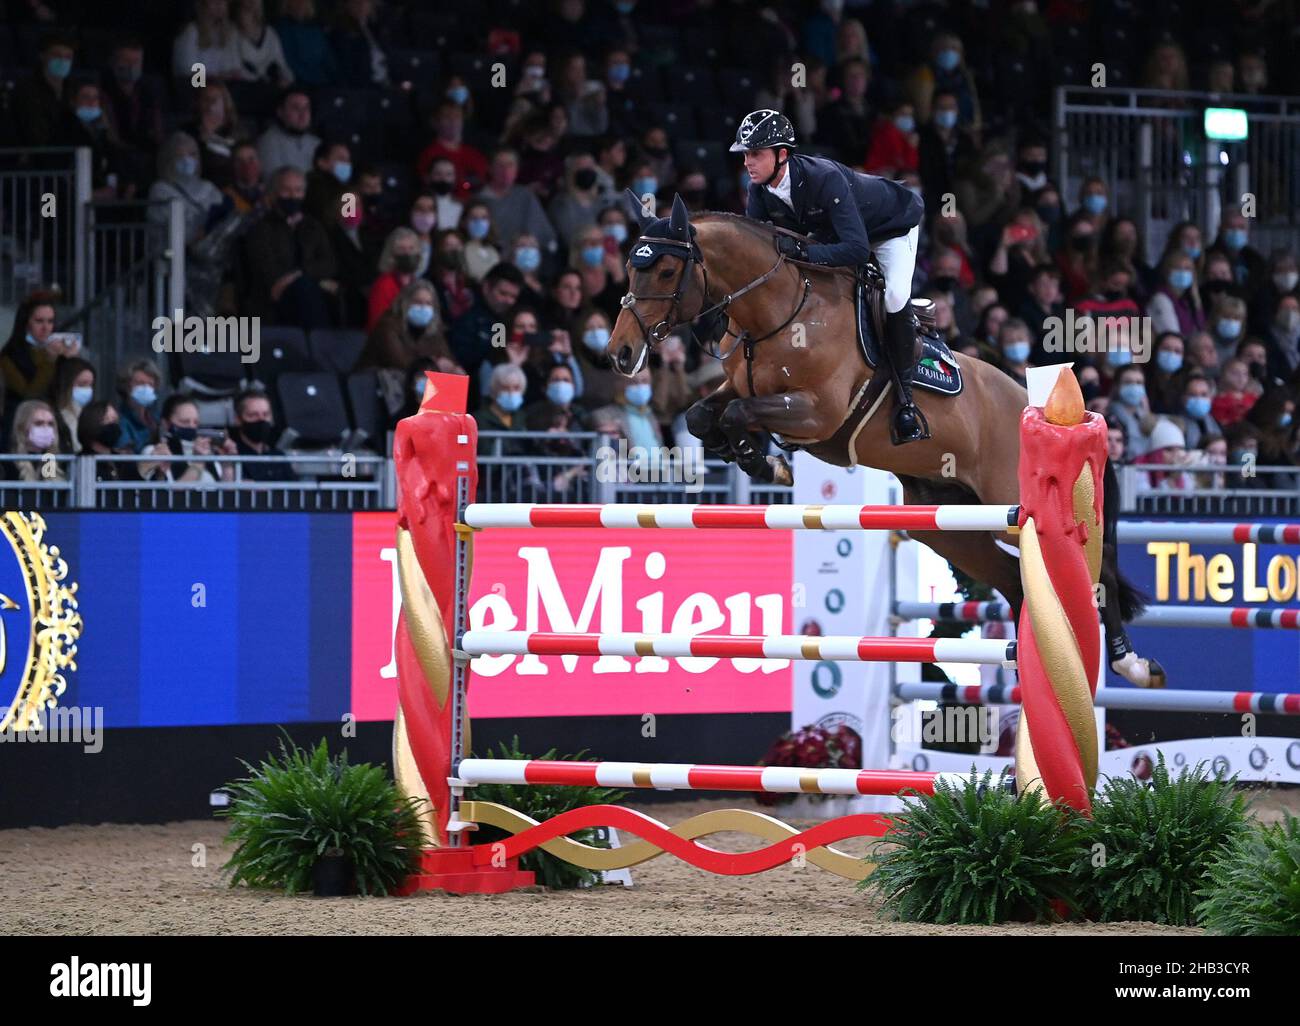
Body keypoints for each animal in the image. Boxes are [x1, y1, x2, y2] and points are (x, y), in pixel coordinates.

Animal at [605, 193, 1165, 689]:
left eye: (665, 271)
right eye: (630, 268)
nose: (620, 353)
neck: (778, 310)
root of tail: (1048, 411)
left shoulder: (819, 413)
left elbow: (741, 413)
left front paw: (764, 462)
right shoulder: (741, 387)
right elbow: (703, 414)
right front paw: (749, 457)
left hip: (1009, 499)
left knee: (1096, 565)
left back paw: (1131, 664)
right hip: (946, 522)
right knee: (1012, 579)